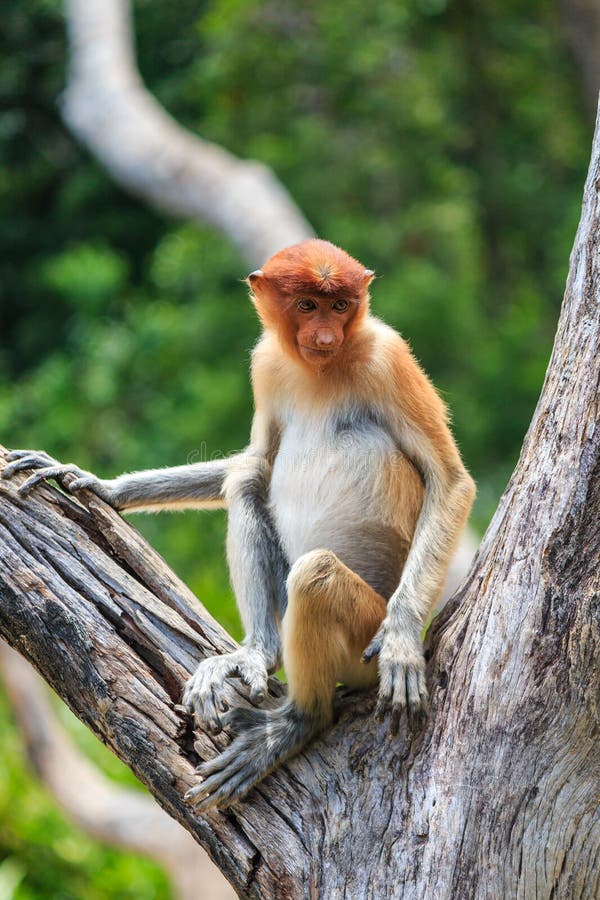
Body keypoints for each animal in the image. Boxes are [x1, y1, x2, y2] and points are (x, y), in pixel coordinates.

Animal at [3, 238, 475, 810]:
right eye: (307, 306)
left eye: (341, 306)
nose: (325, 338)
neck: (323, 369)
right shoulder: (266, 363)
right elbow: (255, 459)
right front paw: (99, 485)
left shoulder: (389, 357)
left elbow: (450, 481)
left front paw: (402, 644)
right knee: (249, 479)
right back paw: (257, 653)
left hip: (365, 643)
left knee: (315, 574)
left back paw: (297, 722)